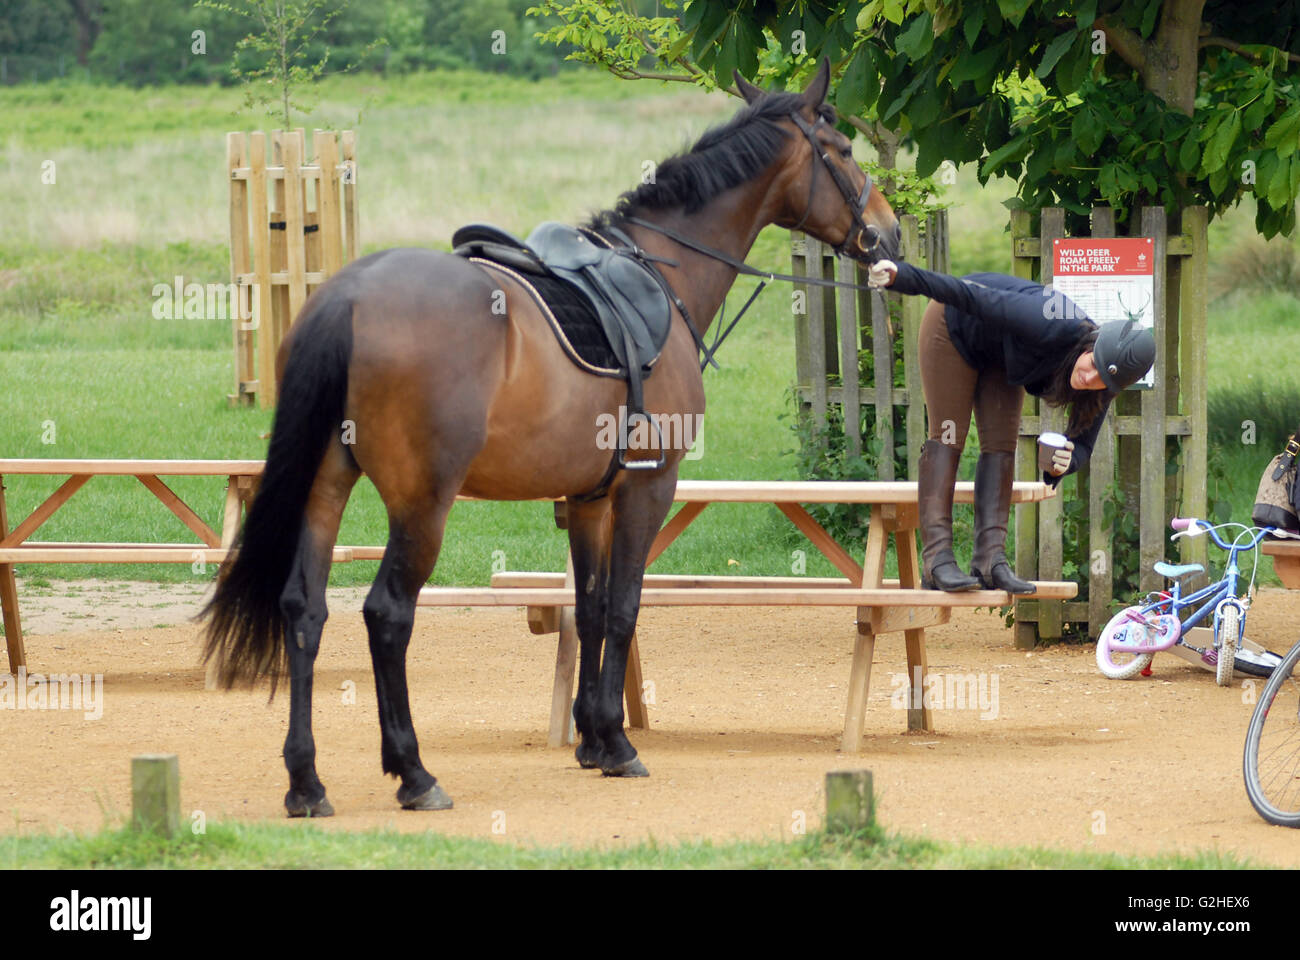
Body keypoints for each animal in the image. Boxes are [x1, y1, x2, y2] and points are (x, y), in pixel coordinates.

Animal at [200, 58, 902, 816]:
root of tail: (346, 298)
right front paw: (618, 745)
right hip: (421, 506)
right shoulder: (649, 486)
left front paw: (592, 736)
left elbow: (588, 610)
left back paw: (306, 780)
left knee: (305, 610)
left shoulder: (588, 498)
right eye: (843, 151)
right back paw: (414, 772)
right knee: (387, 614)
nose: (888, 234)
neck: (662, 270)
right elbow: (623, 608)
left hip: (326, 487)